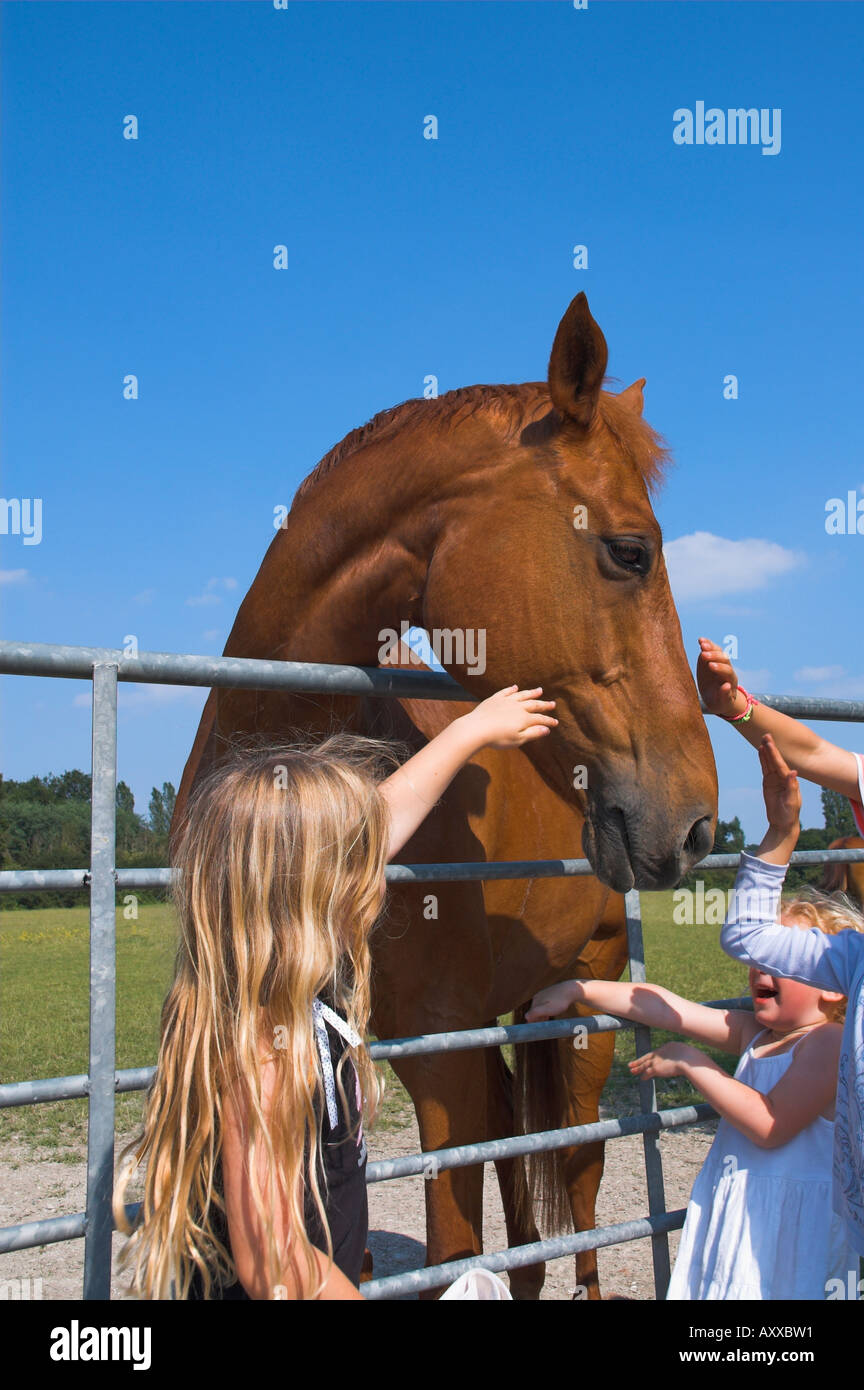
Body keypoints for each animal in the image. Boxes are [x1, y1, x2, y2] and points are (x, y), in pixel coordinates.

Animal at [173, 292, 718, 1298]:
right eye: (630, 551)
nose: (698, 821)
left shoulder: (441, 1064)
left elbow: (458, 1250)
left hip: (579, 1018)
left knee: (575, 1182)